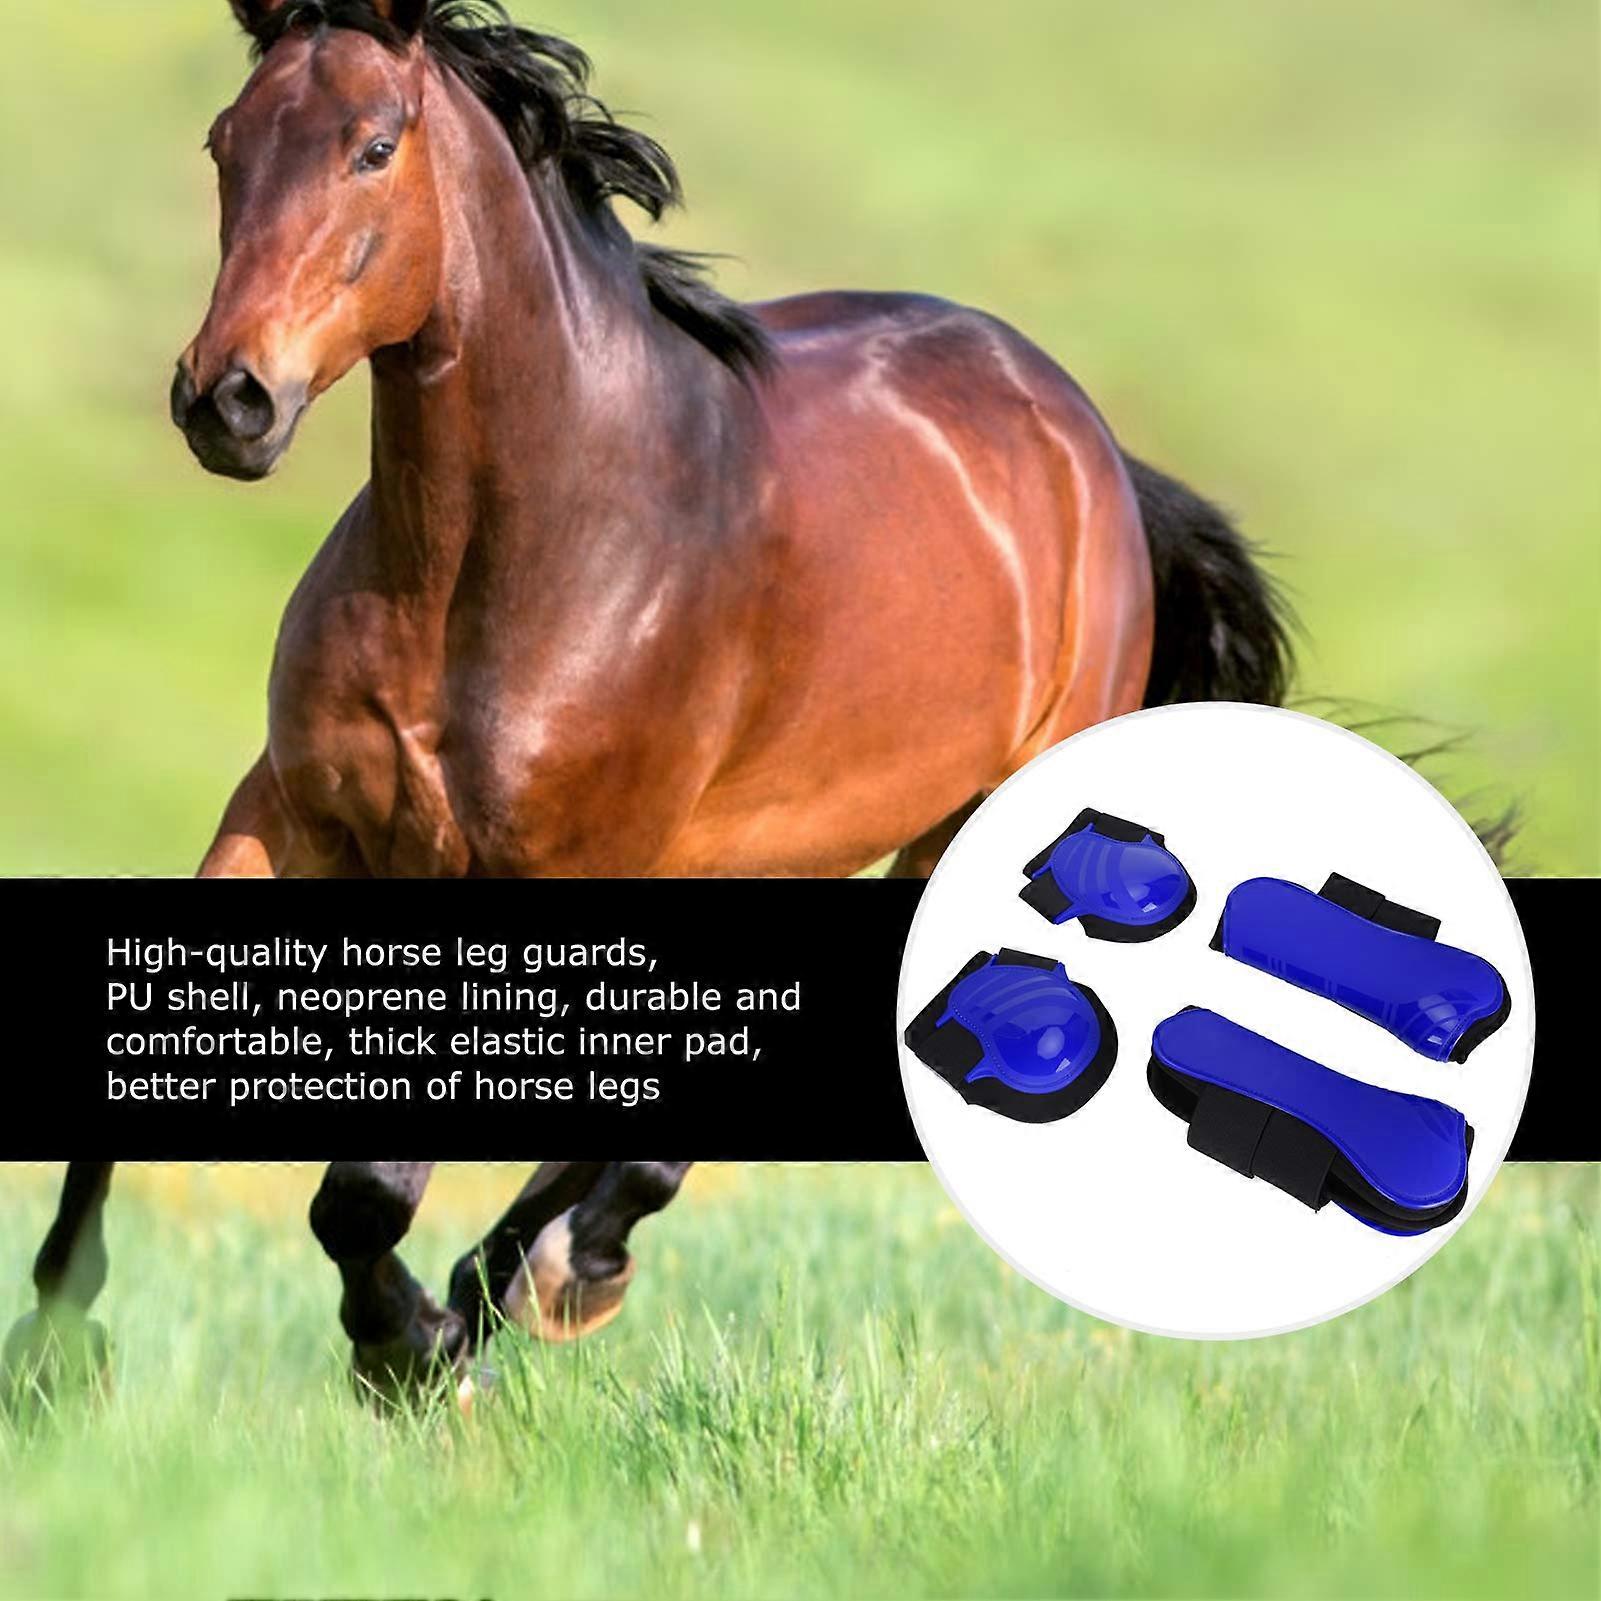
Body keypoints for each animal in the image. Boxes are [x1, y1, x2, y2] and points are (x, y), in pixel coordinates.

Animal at [6, 0, 1289, 1404]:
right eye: (226, 141)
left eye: (373, 146)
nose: (226, 399)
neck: (503, 558)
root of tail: (1087, 446)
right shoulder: (297, 815)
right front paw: (53, 1348)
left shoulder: (548, 870)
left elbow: (366, 1192)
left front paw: (403, 1342)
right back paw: (520, 1280)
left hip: (948, 835)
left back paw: (547, 1276)